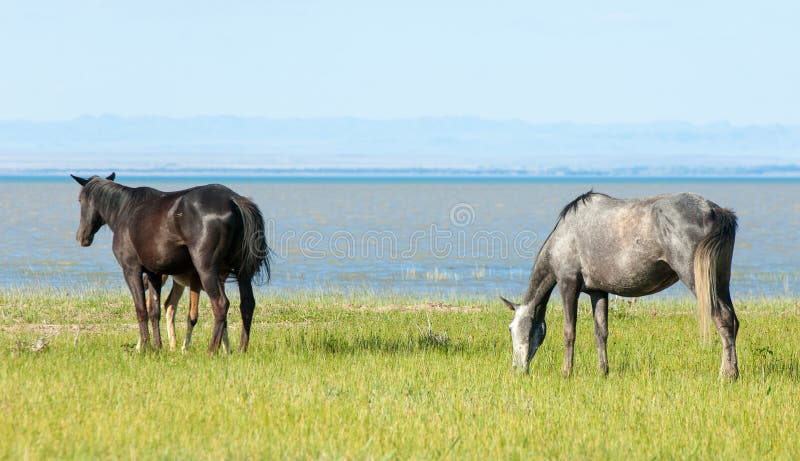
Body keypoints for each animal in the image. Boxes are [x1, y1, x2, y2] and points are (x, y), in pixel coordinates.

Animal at [71, 173, 270, 352]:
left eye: (80, 200)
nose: (82, 237)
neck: (125, 211)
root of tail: (233, 199)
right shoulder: (154, 273)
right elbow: (154, 311)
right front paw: (157, 347)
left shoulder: (131, 270)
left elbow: (141, 309)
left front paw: (145, 348)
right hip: (242, 271)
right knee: (247, 304)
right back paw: (241, 349)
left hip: (207, 270)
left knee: (221, 304)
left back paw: (211, 351)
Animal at [501, 191, 739, 379]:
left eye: (511, 328)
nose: (516, 369)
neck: (564, 236)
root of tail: (717, 211)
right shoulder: (598, 291)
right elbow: (601, 332)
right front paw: (603, 371)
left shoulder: (568, 284)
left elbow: (569, 332)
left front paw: (566, 372)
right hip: (720, 281)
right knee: (732, 321)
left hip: (698, 280)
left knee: (722, 319)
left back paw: (726, 375)